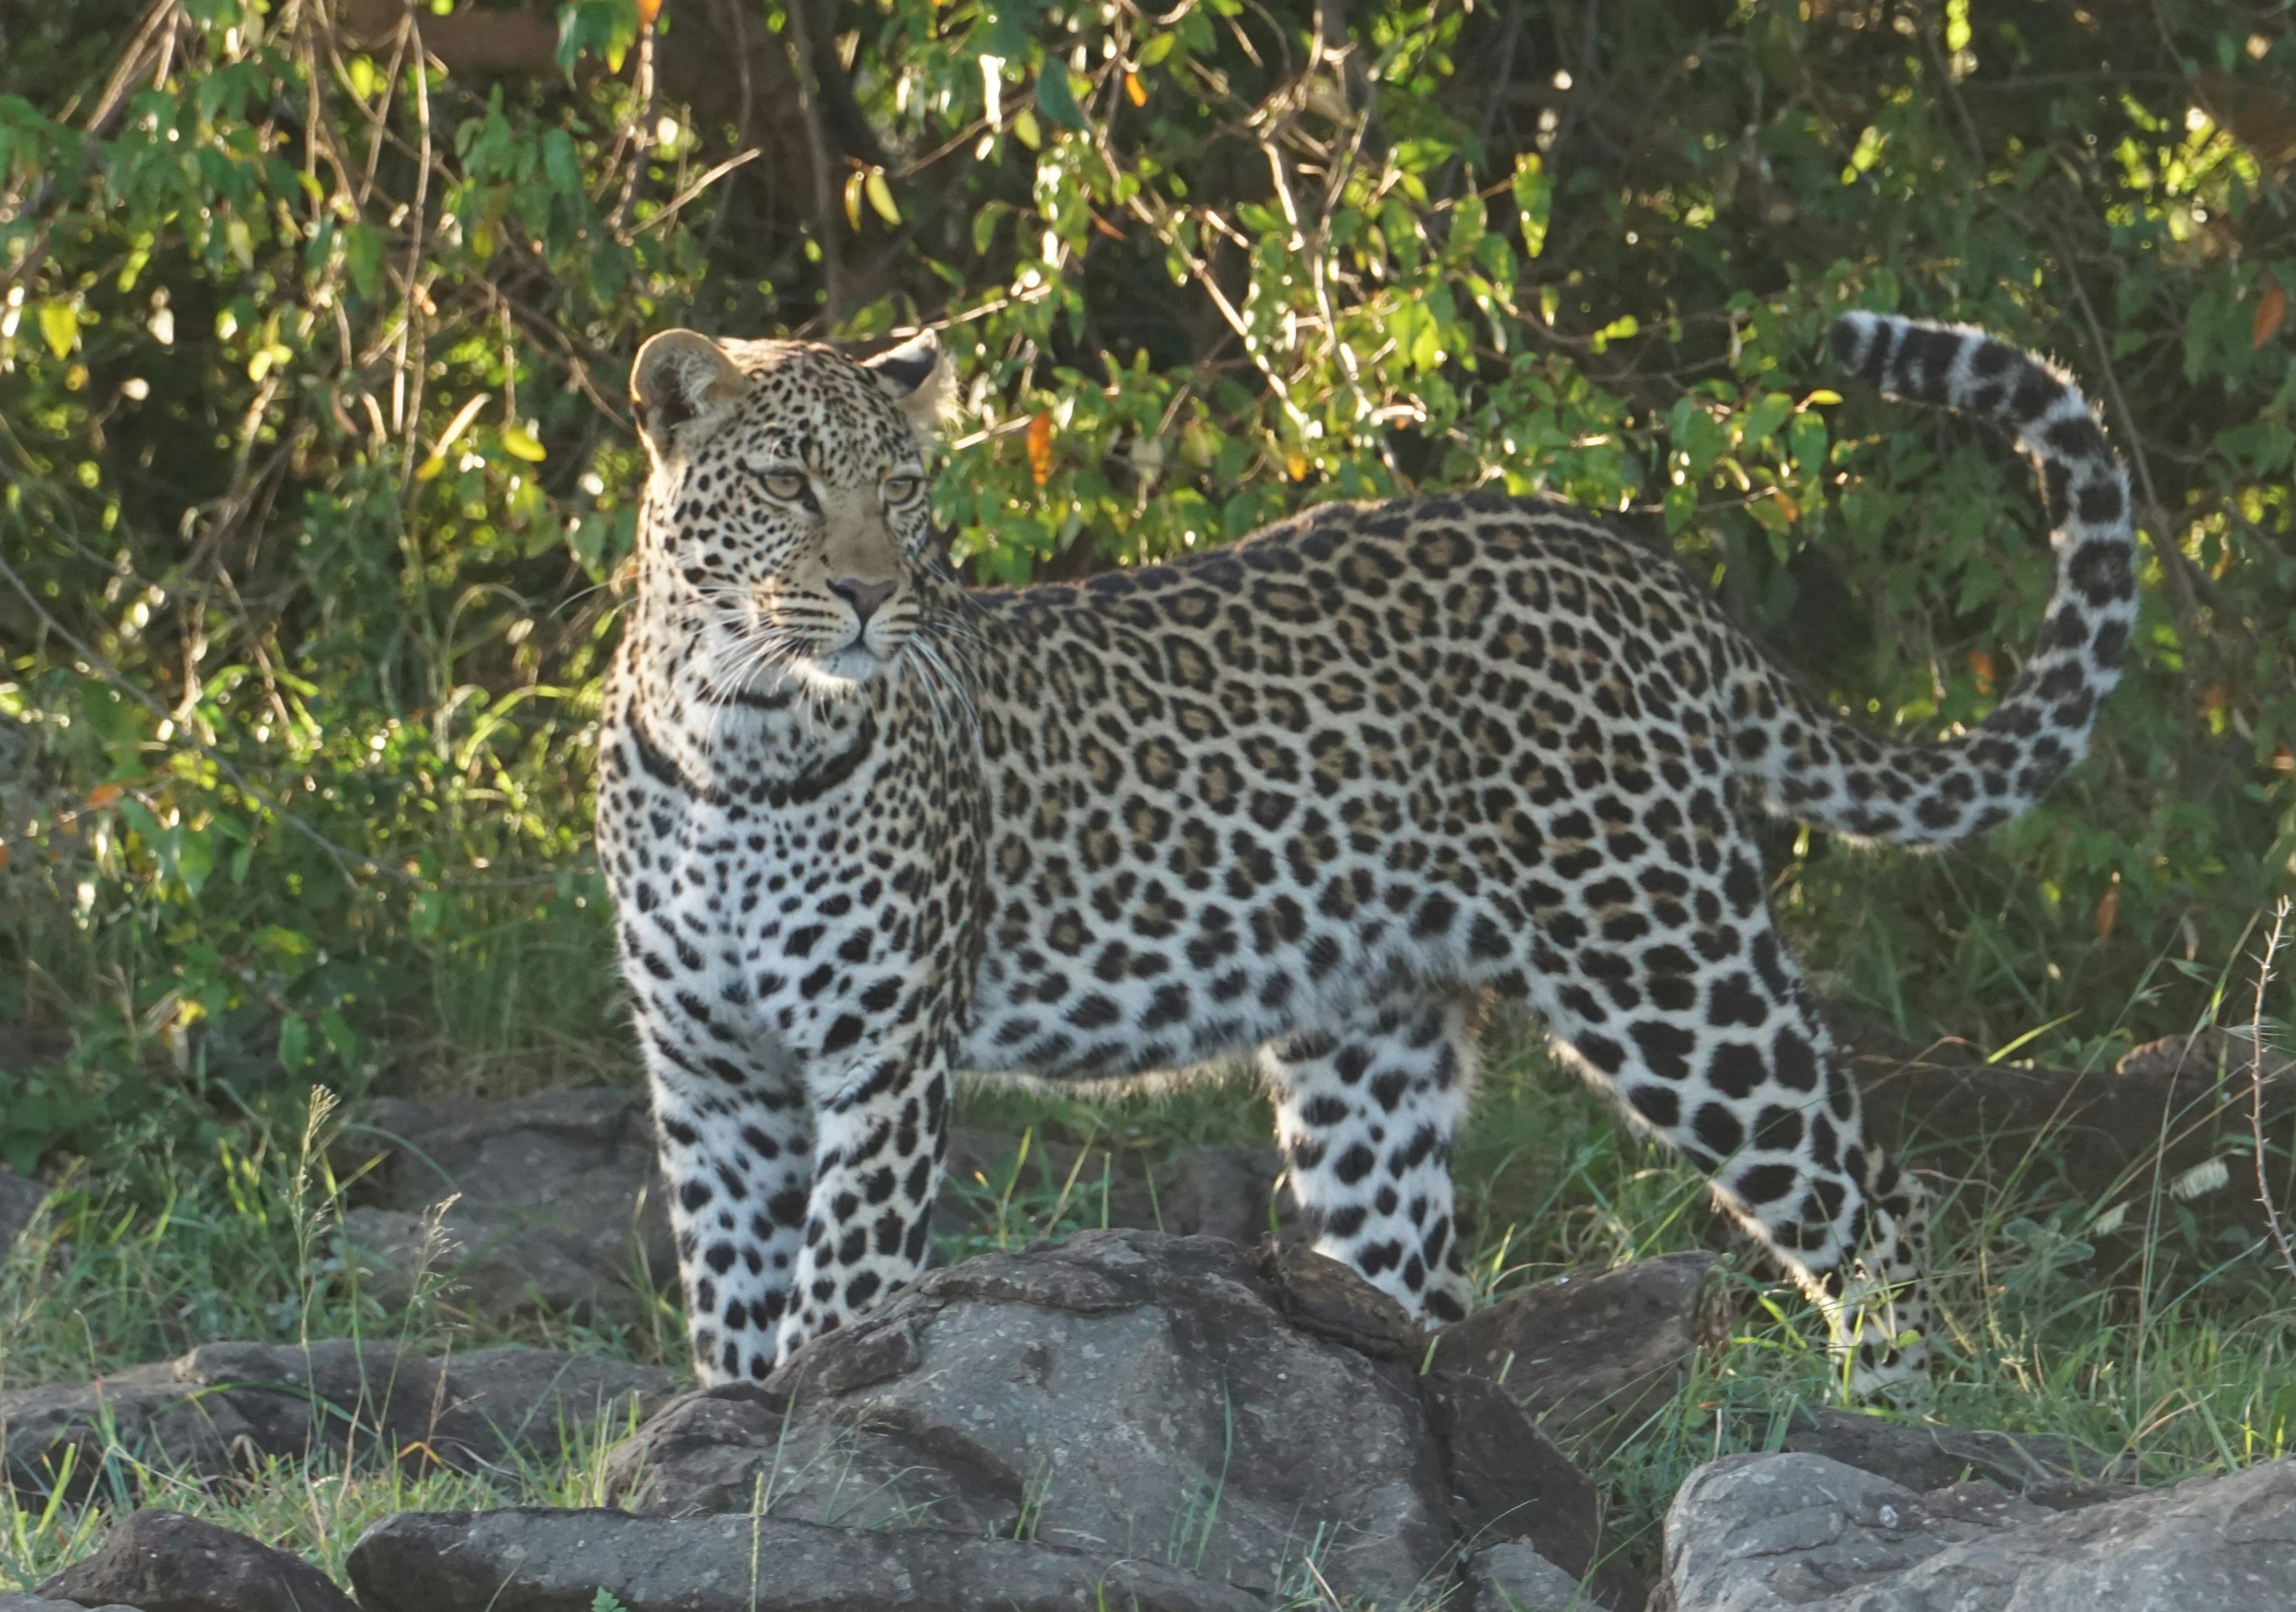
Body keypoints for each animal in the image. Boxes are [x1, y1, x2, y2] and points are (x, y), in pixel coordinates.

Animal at [594, 311, 2135, 1395]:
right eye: (789, 481)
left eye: (904, 486)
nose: (874, 592)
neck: (738, 739)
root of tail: (1646, 574)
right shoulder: (711, 1074)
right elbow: (731, 1298)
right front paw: (732, 1431)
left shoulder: (885, 1054)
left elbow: (837, 1288)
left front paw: (793, 1441)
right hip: (1368, 1046)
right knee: (1417, 1283)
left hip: (1662, 954)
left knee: (1869, 1192)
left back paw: (1893, 1407)